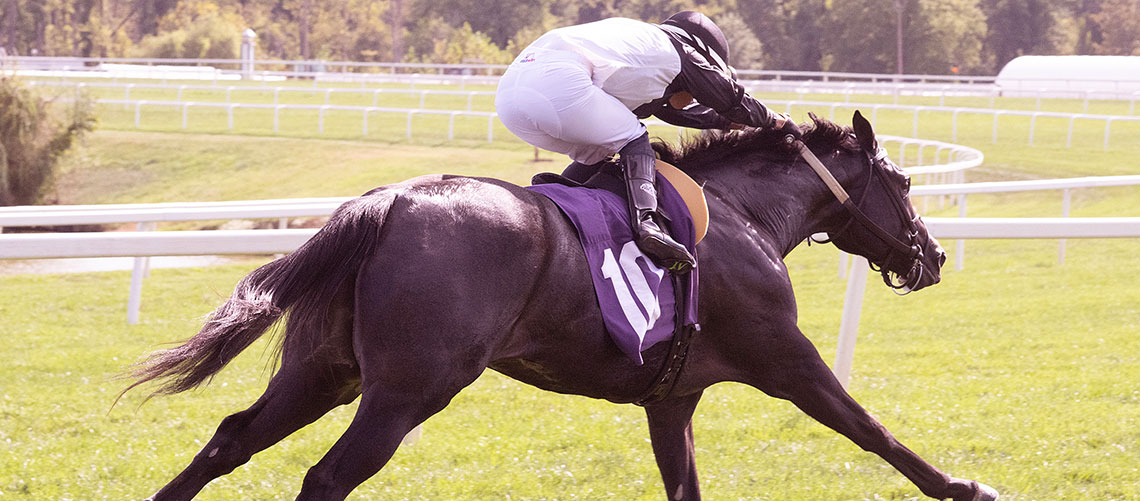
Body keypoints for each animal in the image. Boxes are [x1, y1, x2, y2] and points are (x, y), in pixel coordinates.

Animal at [124, 111, 997, 501]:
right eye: (905, 181)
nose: (931, 255)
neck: (743, 213)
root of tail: (386, 203)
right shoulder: (785, 357)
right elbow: (871, 428)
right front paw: (964, 486)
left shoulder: (672, 397)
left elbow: (685, 483)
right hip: (408, 389)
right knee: (328, 475)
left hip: (325, 371)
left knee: (230, 438)